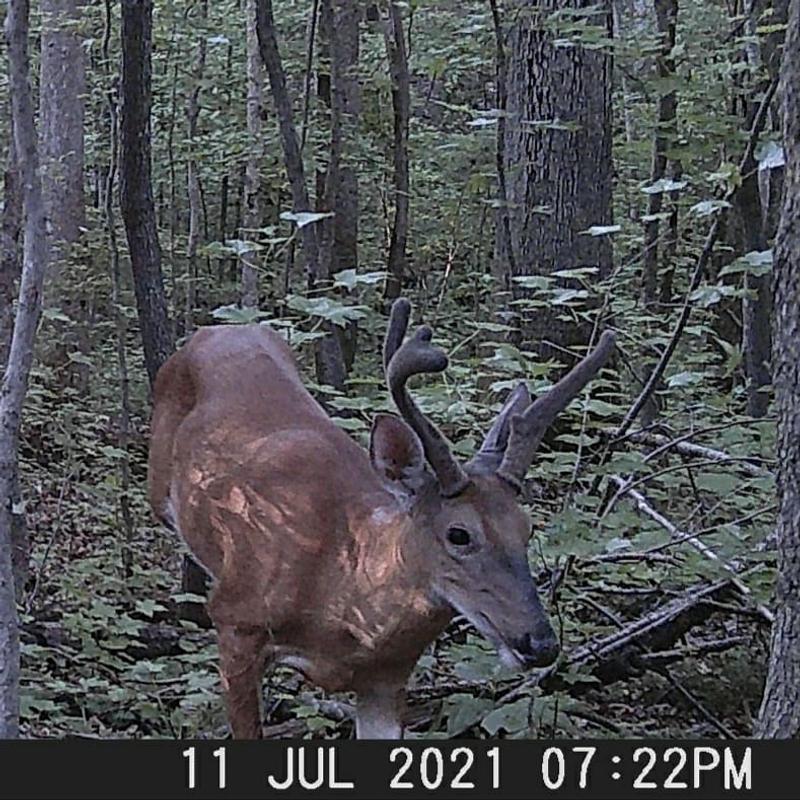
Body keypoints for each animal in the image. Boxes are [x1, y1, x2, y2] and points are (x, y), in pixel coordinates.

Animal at [148, 298, 615, 739]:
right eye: (459, 534)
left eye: (527, 528)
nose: (541, 644)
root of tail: (222, 328)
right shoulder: (237, 623)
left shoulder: (387, 679)